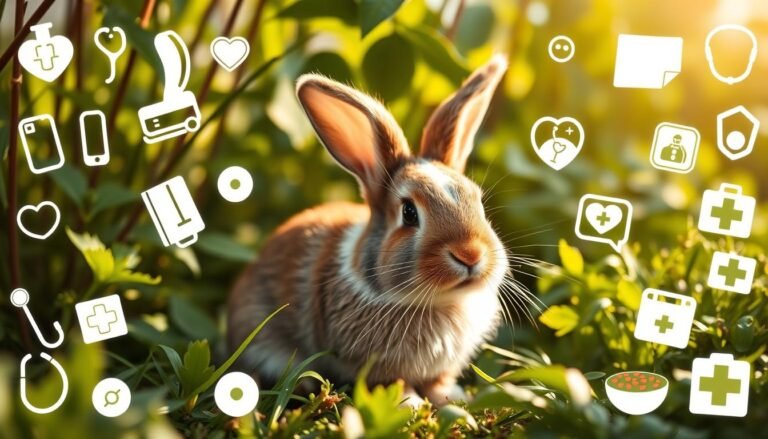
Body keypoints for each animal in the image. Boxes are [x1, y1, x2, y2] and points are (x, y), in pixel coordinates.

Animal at [227, 55, 511, 406]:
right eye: (409, 213)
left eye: (478, 201)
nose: (470, 255)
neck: (437, 301)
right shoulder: (377, 366)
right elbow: (395, 382)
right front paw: (411, 404)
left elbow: (439, 382)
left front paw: (454, 400)